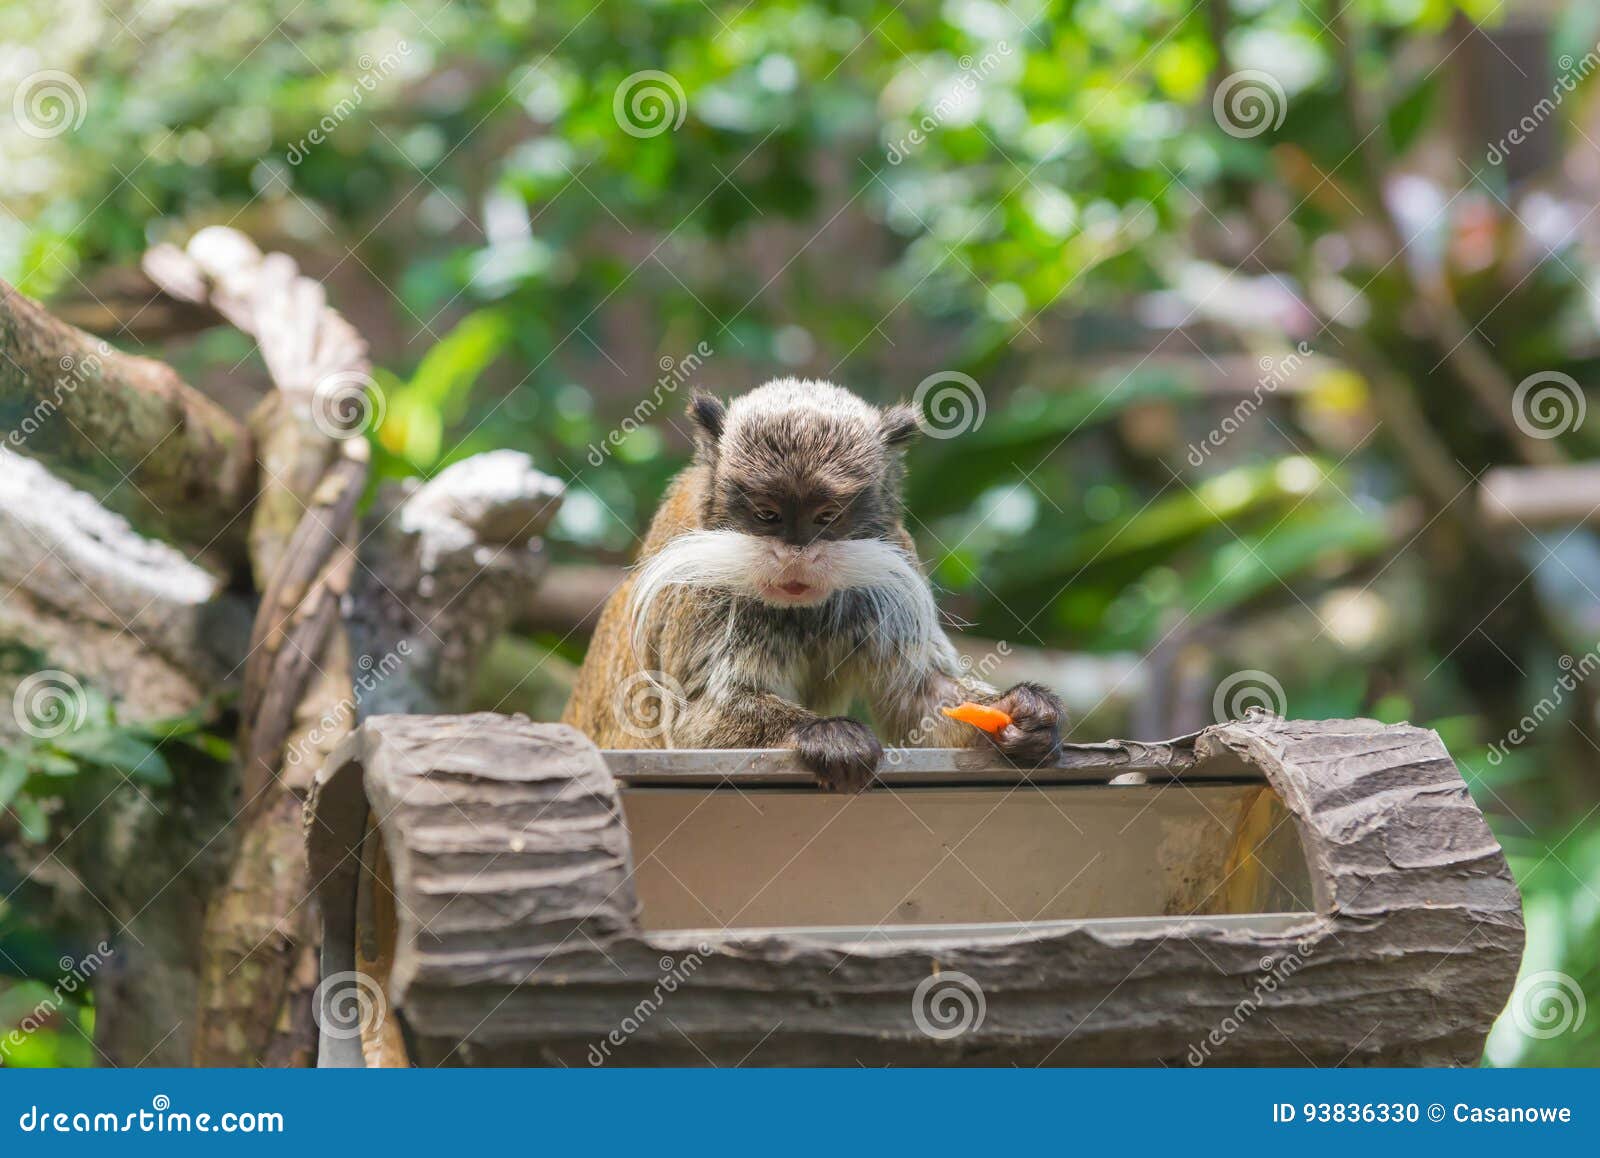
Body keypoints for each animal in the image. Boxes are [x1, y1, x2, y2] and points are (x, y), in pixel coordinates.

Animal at [562, 377, 1065, 791]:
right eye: (768, 515)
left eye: (826, 517)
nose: (796, 556)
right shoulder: (700, 588)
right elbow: (696, 718)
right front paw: (827, 734)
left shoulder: (893, 569)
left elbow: (918, 699)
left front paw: (1028, 713)